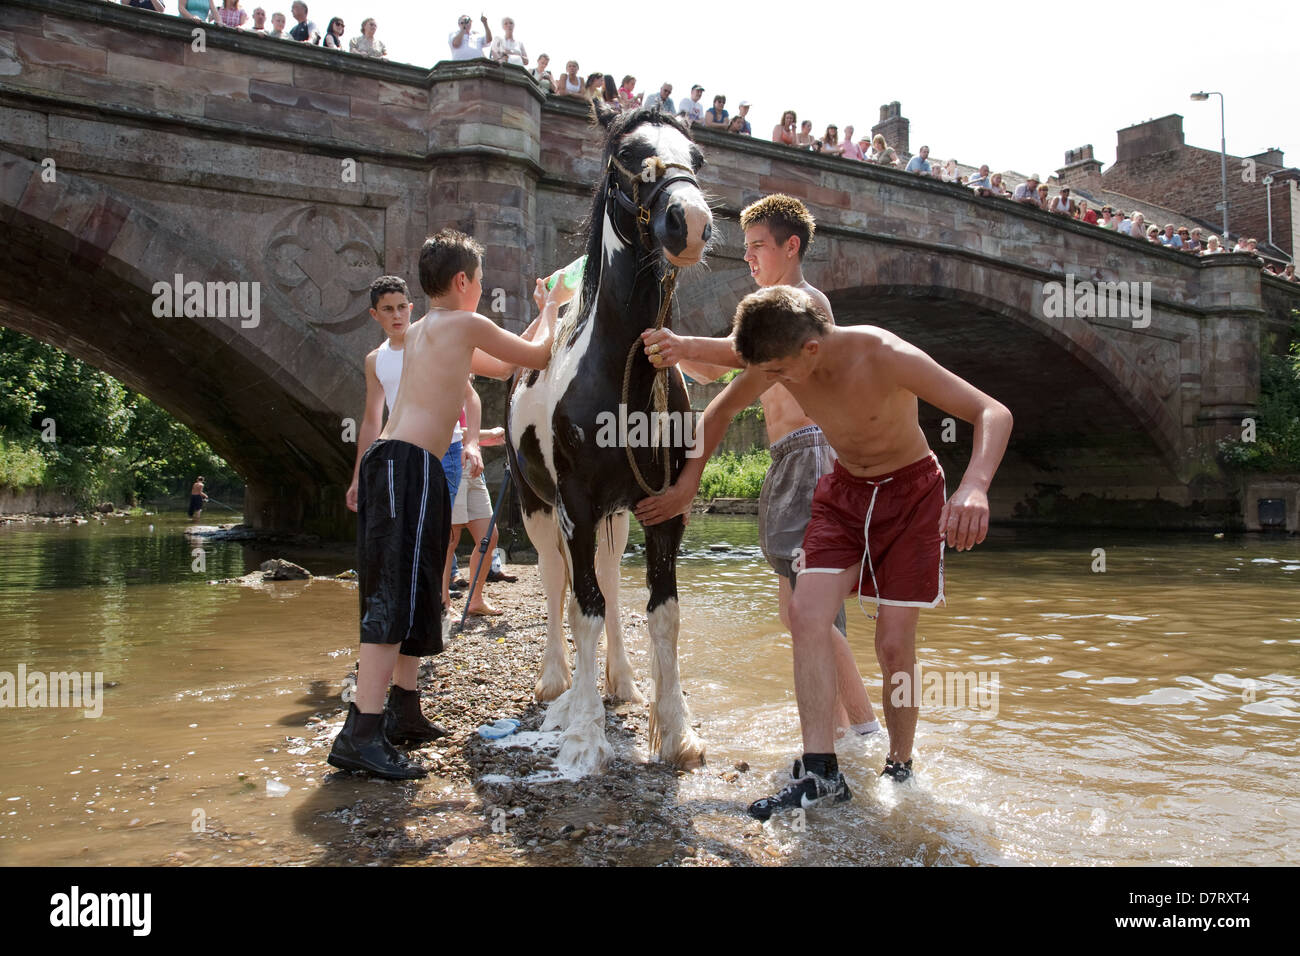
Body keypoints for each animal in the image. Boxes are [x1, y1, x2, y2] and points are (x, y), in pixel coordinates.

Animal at [506, 104, 714, 774]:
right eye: (626, 155)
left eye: (696, 158)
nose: (689, 221)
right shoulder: (575, 503)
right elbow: (584, 608)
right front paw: (582, 737)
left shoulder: (664, 507)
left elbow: (661, 612)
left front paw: (675, 732)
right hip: (536, 505)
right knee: (557, 584)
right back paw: (556, 685)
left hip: (615, 517)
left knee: (608, 582)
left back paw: (619, 681)